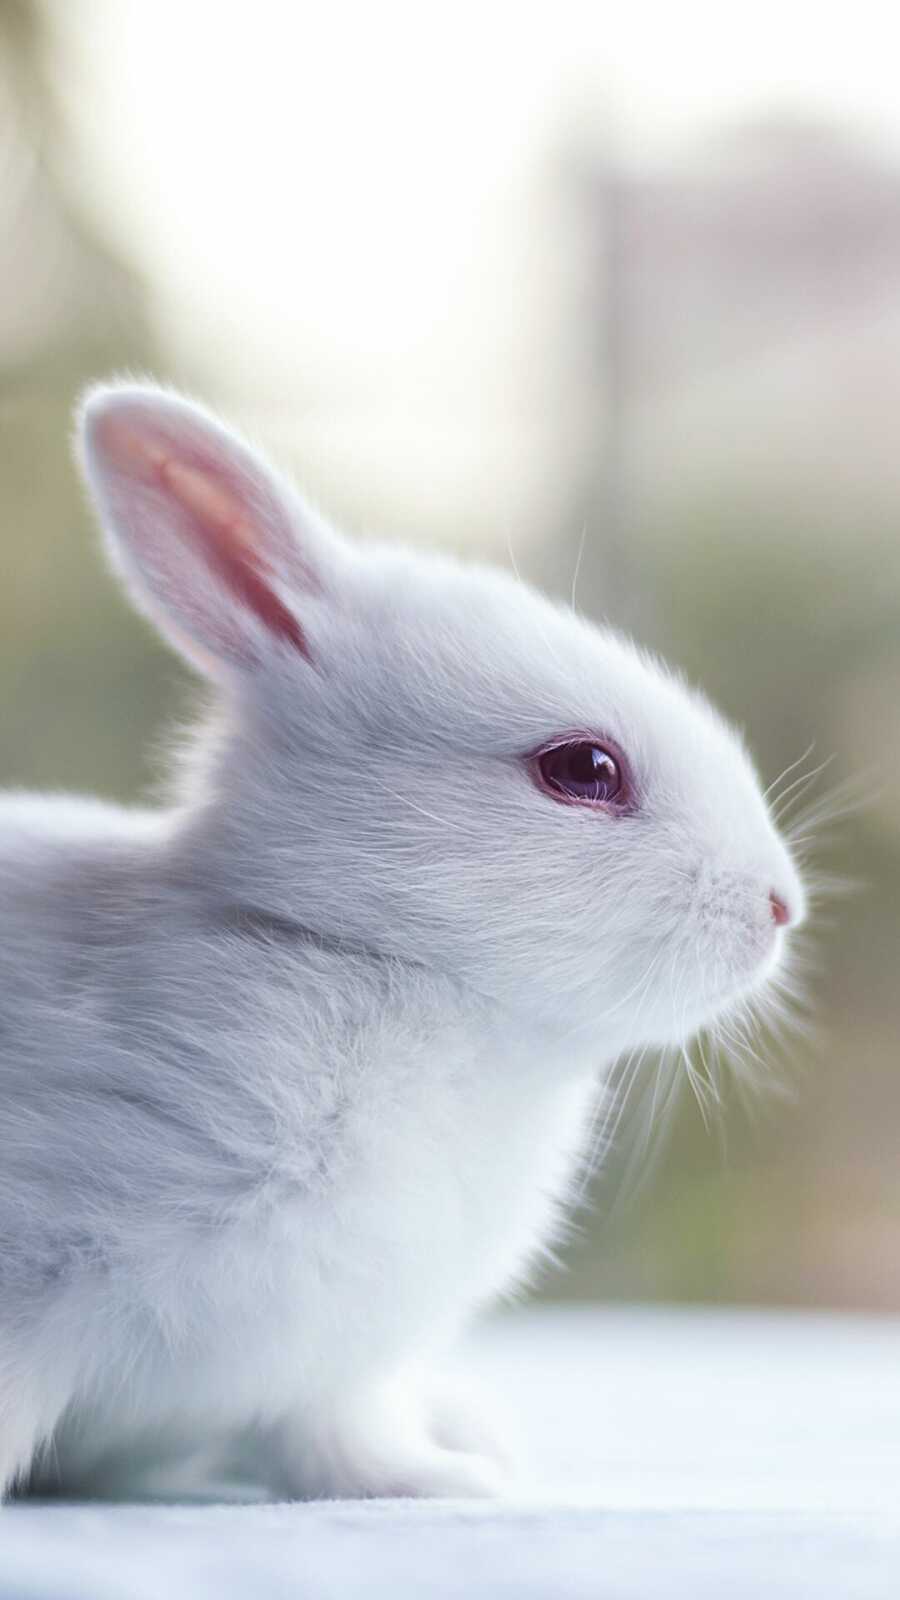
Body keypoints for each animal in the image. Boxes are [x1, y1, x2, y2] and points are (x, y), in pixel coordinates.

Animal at [0, 383, 805, 1502]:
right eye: (584, 769)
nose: (780, 906)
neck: (372, 960)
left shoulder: (326, 1369)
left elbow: (343, 1448)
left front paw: (450, 1480)